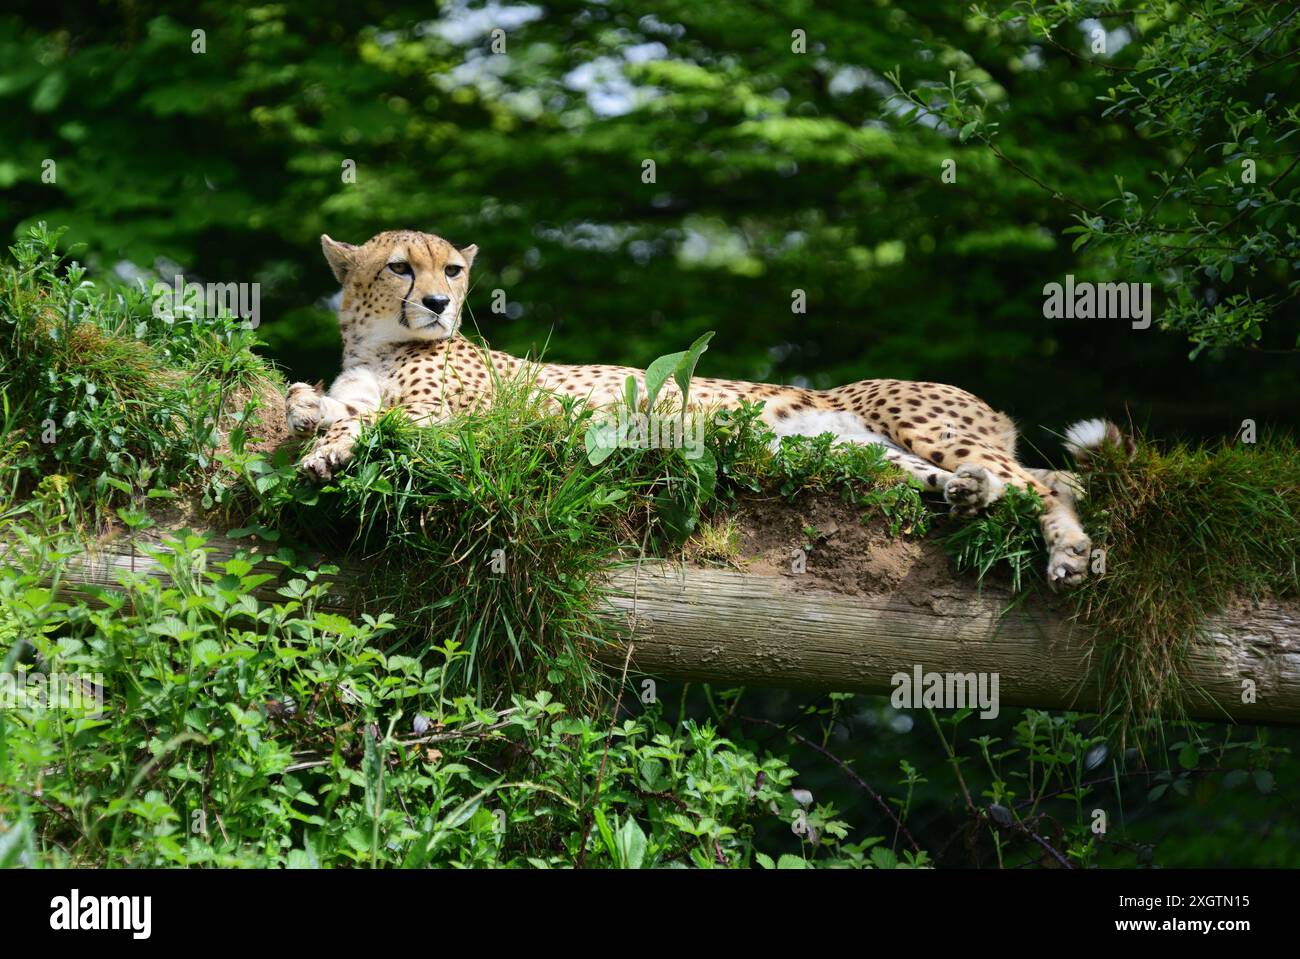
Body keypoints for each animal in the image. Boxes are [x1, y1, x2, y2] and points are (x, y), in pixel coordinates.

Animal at [287, 228, 1120, 590]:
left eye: (454, 270)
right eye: (401, 266)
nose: (437, 302)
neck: (379, 343)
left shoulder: (457, 424)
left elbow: (379, 422)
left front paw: (328, 446)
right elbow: (326, 402)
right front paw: (308, 417)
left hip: (921, 422)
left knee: (1047, 485)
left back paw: (1068, 553)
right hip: (856, 451)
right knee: (980, 480)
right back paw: (965, 494)